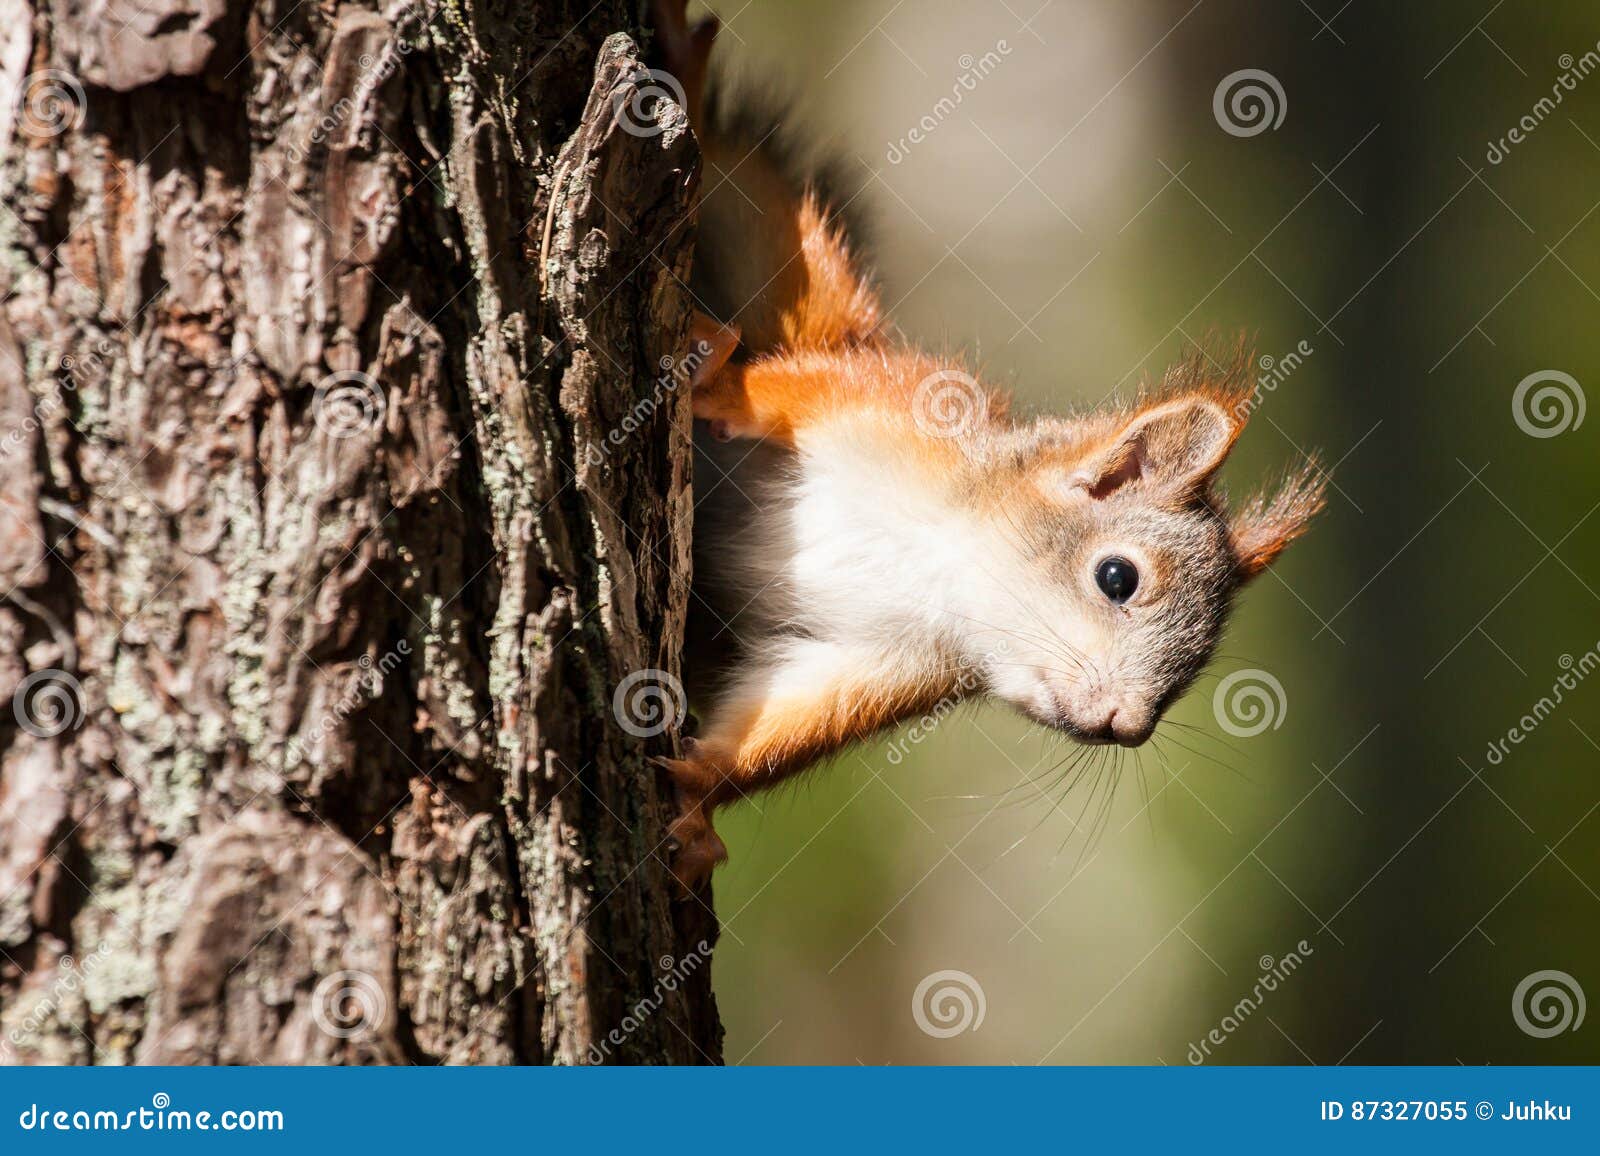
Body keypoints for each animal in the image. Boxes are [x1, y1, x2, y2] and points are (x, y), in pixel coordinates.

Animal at [647, 0, 1326, 892]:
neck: (941, 561)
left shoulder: (886, 666)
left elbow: (776, 726)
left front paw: (695, 798)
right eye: (1118, 577)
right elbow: (785, 392)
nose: (1125, 724)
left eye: (1200, 663)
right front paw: (717, 388)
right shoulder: (879, 406)